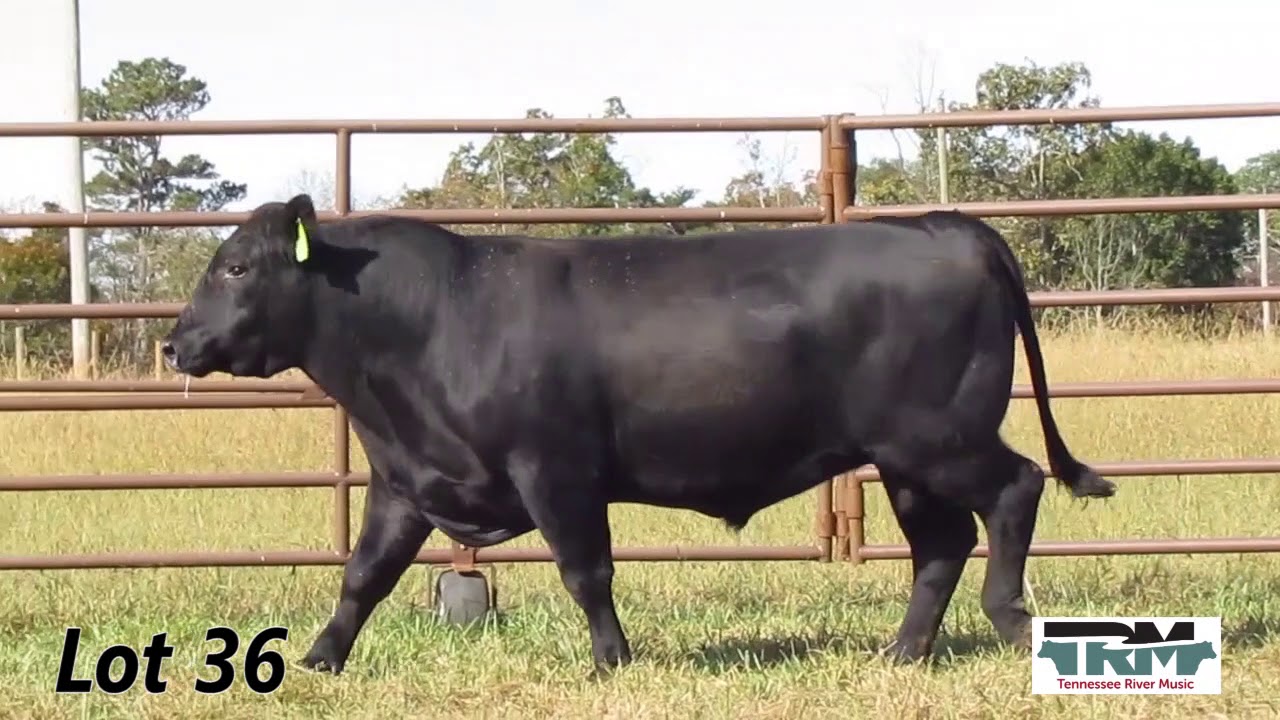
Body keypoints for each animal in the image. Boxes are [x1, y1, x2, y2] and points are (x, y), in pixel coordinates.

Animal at [160, 193, 1115, 674]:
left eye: (235, 266)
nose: (176, 341)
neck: (431, 320)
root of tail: (943, 225)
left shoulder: (556, 469)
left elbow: (586, 572)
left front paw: (611, 662)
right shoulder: (406, 477)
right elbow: (364, 576)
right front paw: (318, 660)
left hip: (941, 436)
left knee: (1016, 488)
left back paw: (1007, 616)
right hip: (904, 459)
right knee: (940, 544)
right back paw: (903, 653)